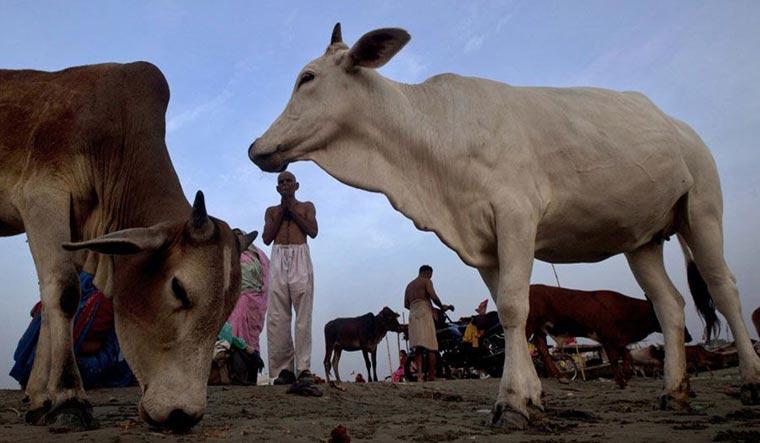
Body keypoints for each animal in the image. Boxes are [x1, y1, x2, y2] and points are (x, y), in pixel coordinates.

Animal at [0, 62, 251, 432]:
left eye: (226, 310)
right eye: (178, 288)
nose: (182, 415)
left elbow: (47, 302)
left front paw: (40, 400)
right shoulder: (41, 197)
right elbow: (63, 293)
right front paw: (68, 400)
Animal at [526, 284, 693, 388]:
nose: (689, 337)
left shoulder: (616, 339)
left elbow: (626, 353)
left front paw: (627, 375)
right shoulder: (607, 337)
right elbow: (613, 359)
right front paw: (621, 381)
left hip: (539, 328)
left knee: (542, 348)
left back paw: (560, 376)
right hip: (529, 323)